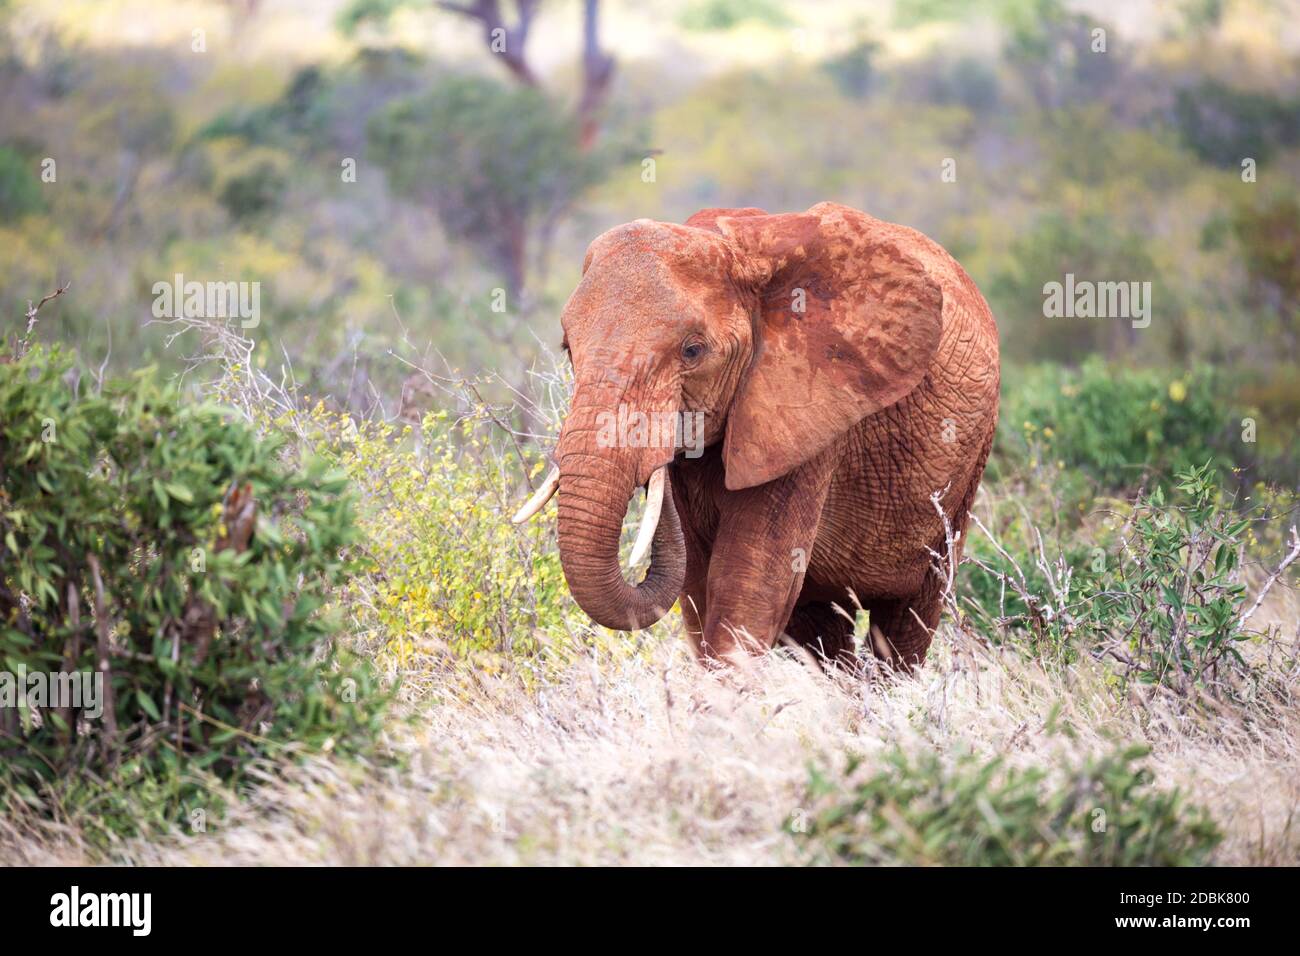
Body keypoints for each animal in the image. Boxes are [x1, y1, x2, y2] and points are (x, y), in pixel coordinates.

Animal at [512, 202, 1000, 671]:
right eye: (568, 349)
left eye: (692, 351)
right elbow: (699, 585)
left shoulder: (807, 412)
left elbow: (749, 582)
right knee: (821, 631)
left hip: (965, 471)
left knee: (909, 617)